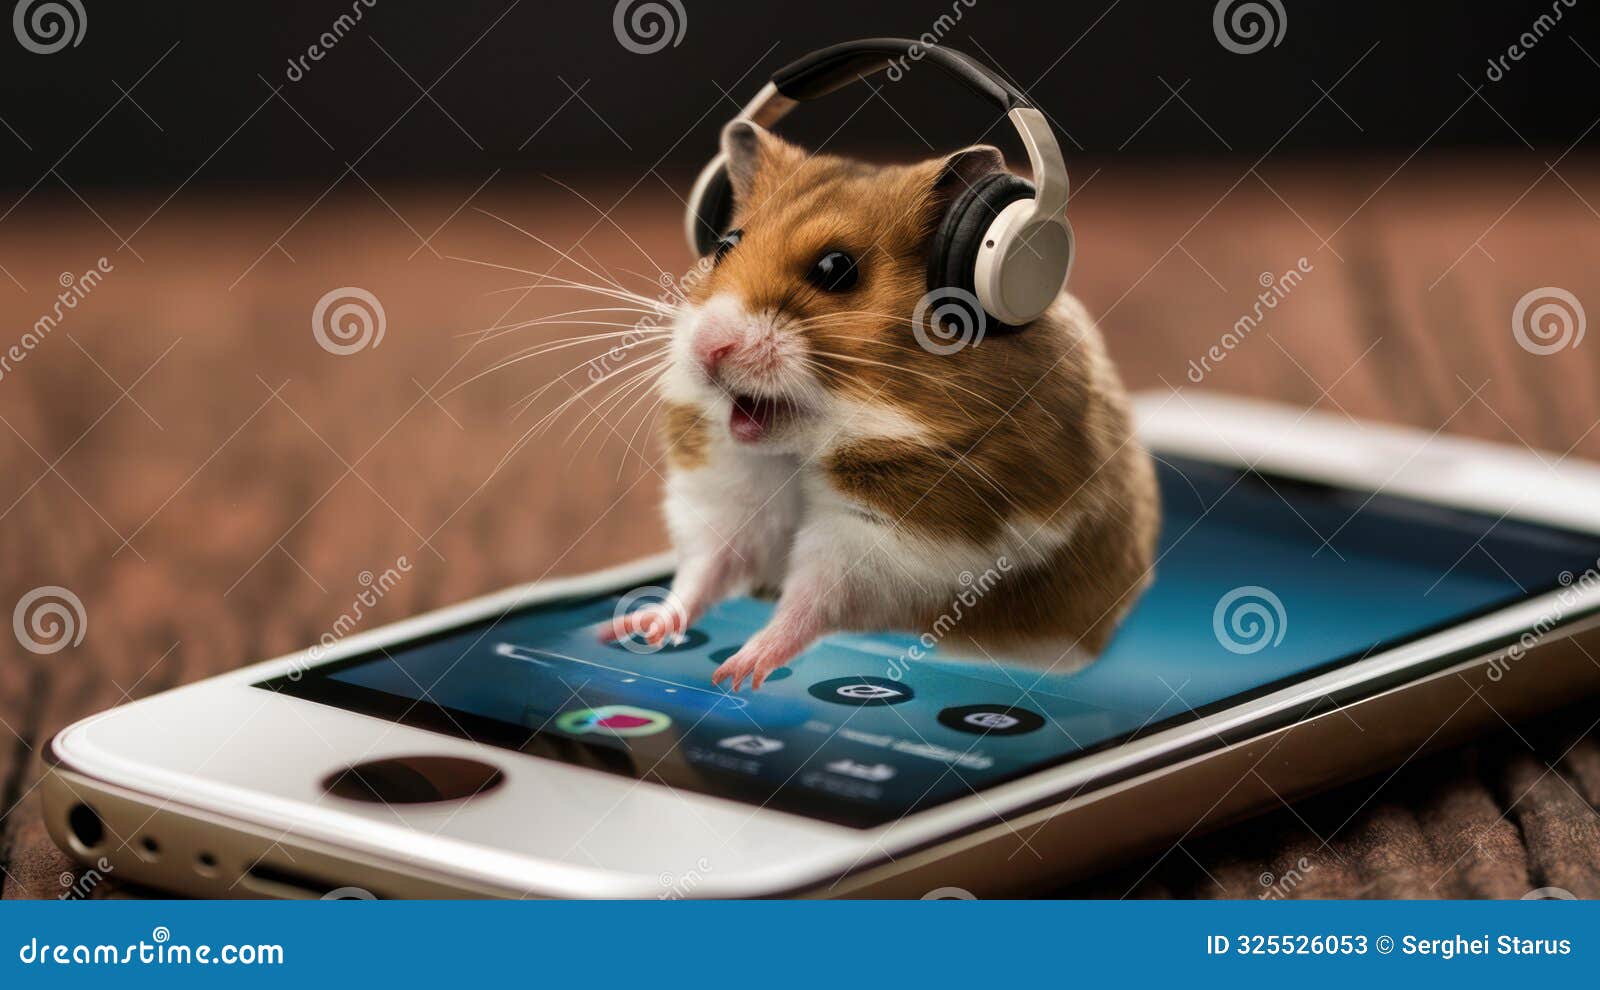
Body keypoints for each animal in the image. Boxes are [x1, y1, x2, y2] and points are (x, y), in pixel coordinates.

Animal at [601, 119, 1159, 691]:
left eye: (835, 268)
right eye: (723, 246)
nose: (709, 348)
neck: (803, 448)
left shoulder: (891, 537)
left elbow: (812, 597)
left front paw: (739, 671)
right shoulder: (726, 500)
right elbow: (703, 570)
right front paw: (633, 628)